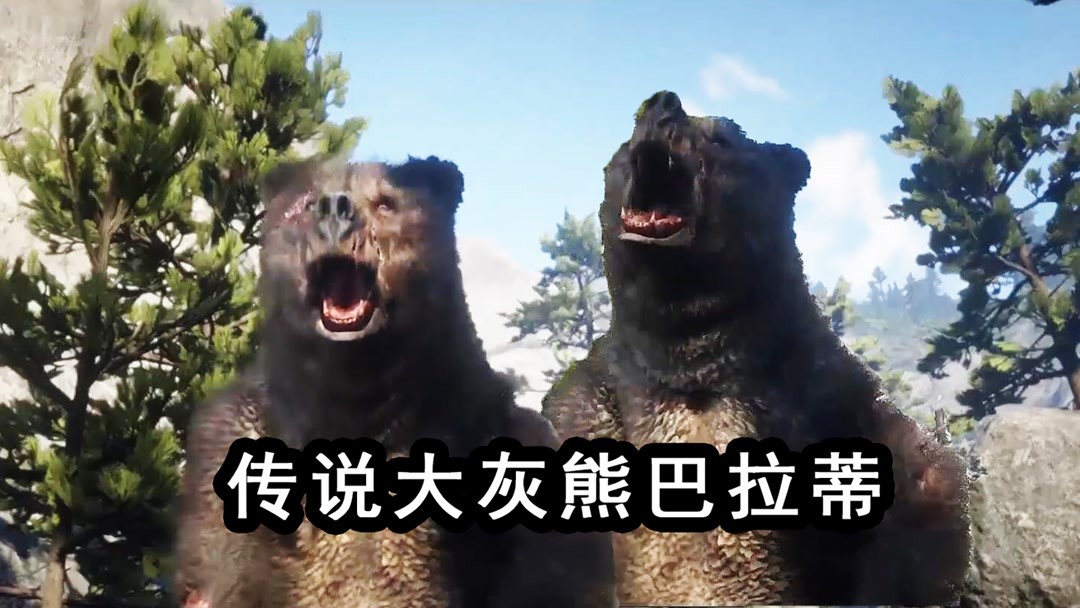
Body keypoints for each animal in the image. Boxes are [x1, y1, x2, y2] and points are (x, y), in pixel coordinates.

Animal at [540, 91, 971, 606]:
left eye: (722, 137)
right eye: (629, 132)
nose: (662, 104)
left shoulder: (827, 403)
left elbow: (922, 503)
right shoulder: (592, 408)